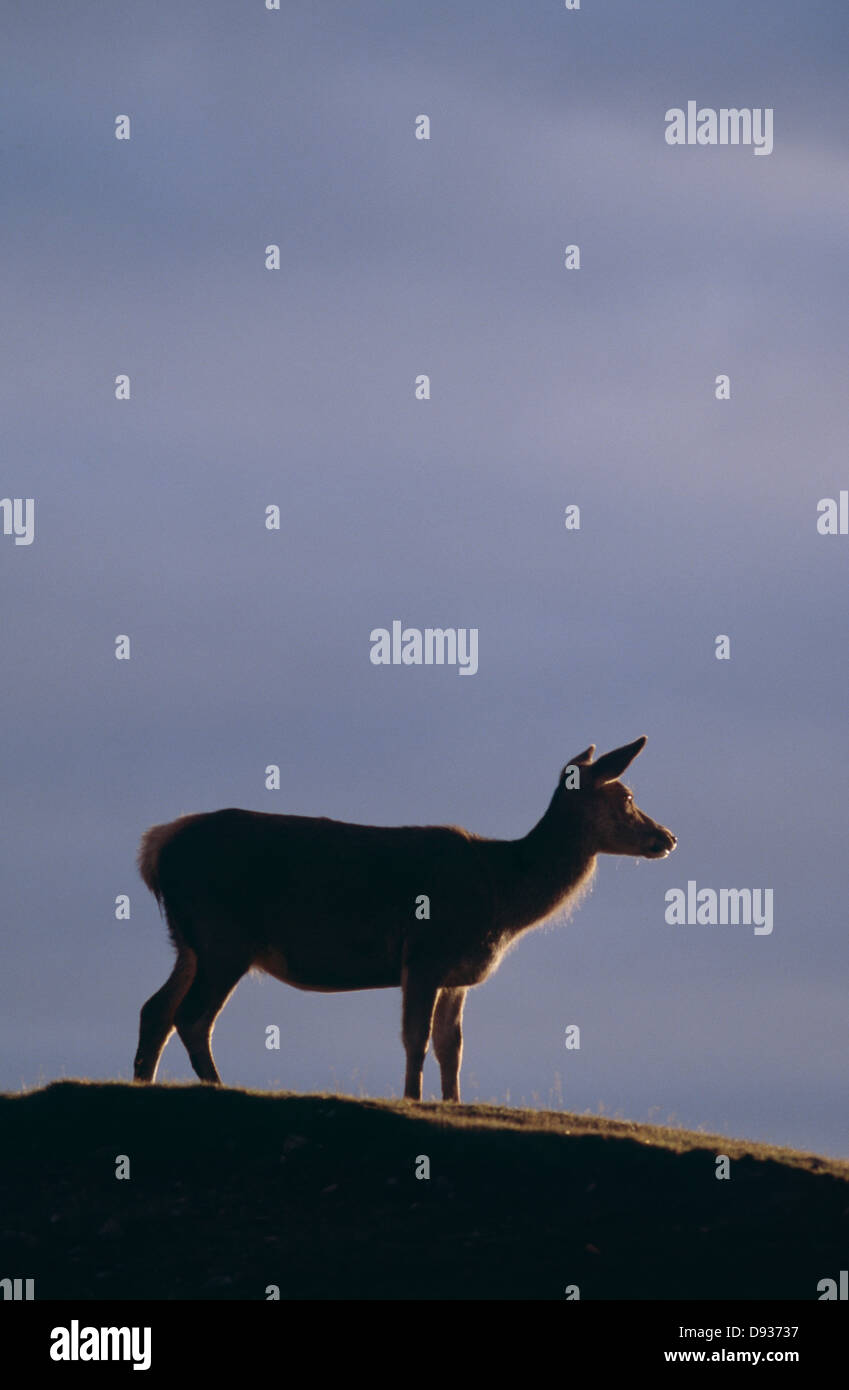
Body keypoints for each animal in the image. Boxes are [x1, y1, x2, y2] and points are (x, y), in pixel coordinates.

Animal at [133, 736, 676, 1100]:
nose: (667, 837)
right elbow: (415, 1039)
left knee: (155, 1009)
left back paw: (144, 1082)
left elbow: (451, 1046)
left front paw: (453, 1104)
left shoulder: (457, 975)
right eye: (627, 797)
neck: (503, 895)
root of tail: (154, 849)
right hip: (224, 937)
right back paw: (217, 1085)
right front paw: (413, 1100)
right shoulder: (425, 953)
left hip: (188, 942)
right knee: (191, 1015)